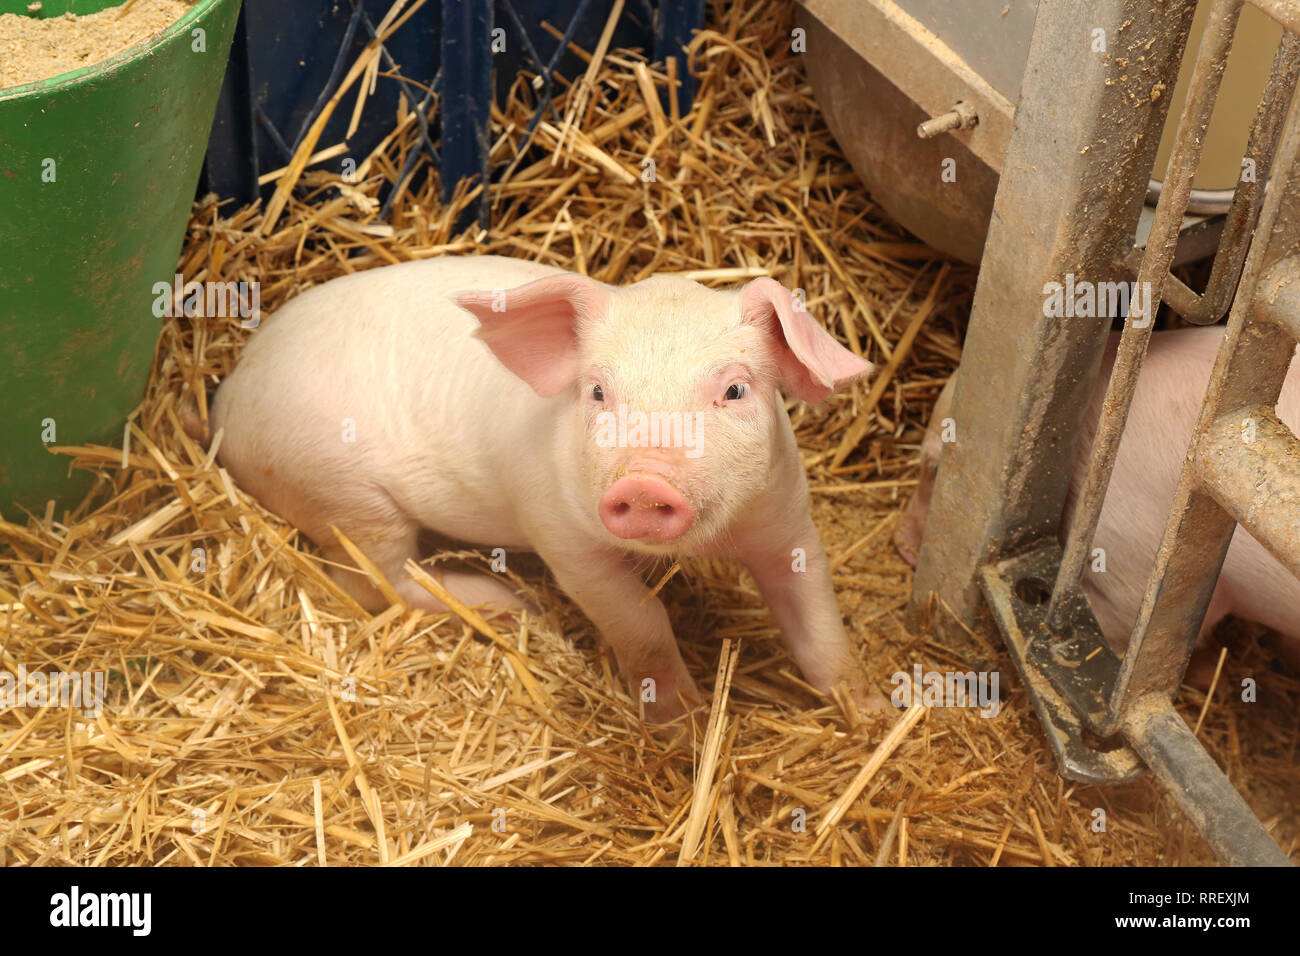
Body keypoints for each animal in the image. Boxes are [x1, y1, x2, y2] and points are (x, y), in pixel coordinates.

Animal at [210, 255, 881, 722]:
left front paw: (872, 713)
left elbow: (820, 621)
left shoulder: (787, 518)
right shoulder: (561, 535)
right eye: (598, 391)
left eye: (736, 389)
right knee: (375, 583)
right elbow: (643, 623)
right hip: (342, 490)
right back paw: (510, 603)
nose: (645, 480)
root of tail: (229, 395)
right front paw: (680, 723)